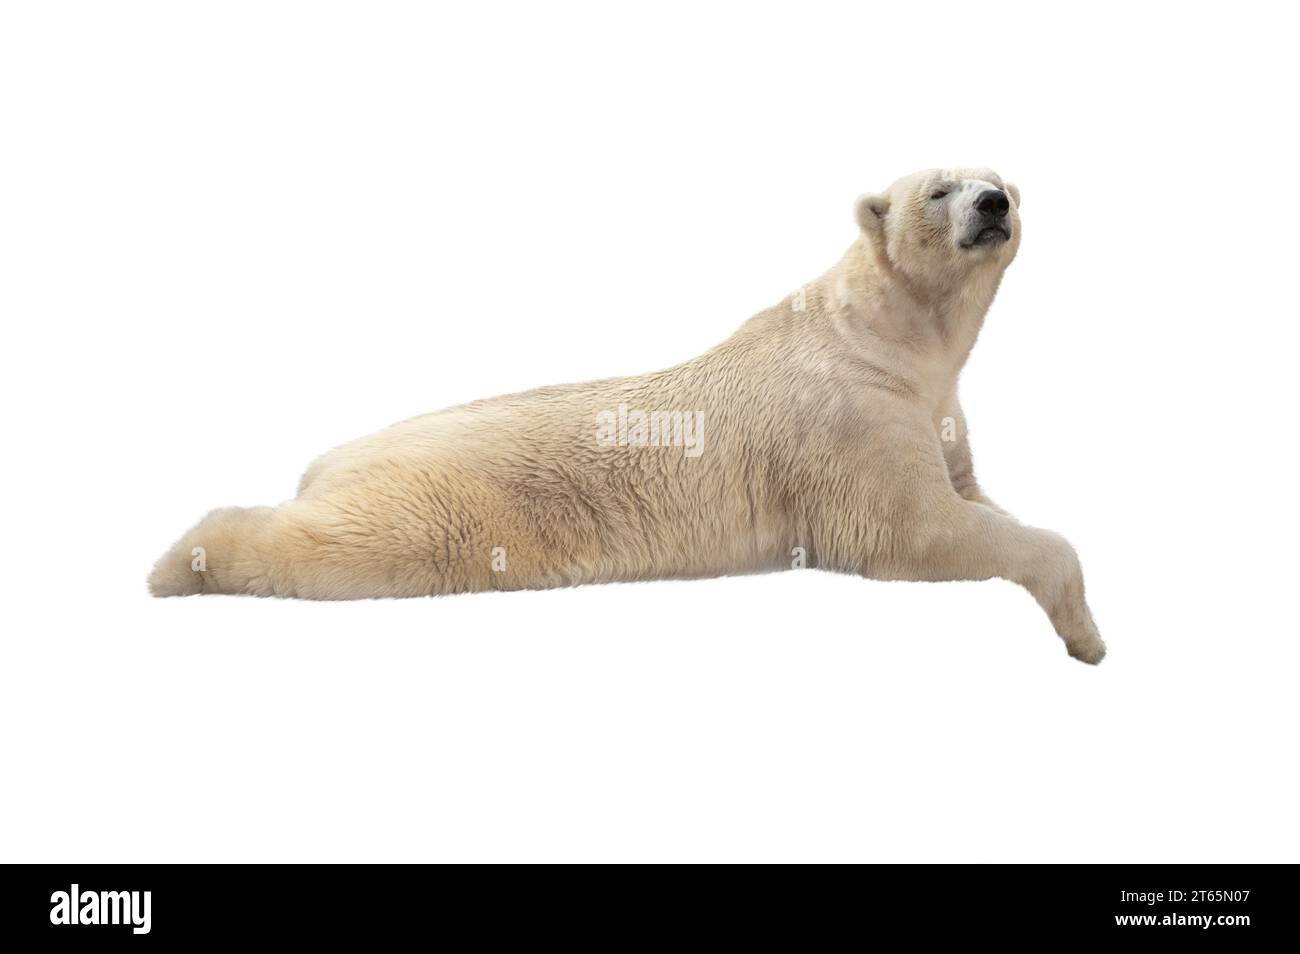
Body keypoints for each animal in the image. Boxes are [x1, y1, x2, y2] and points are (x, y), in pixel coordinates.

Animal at [149, 167, 1105, 664]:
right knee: (358, 543)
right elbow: (916, 528)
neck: (885, 337)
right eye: (940, 189)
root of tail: (334, 456)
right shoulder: (849, 422)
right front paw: (1087, 636)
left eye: (999, 179)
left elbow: (970, 496)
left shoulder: (933, 409)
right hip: (445, 503)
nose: (994, 204)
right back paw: (180, 560)